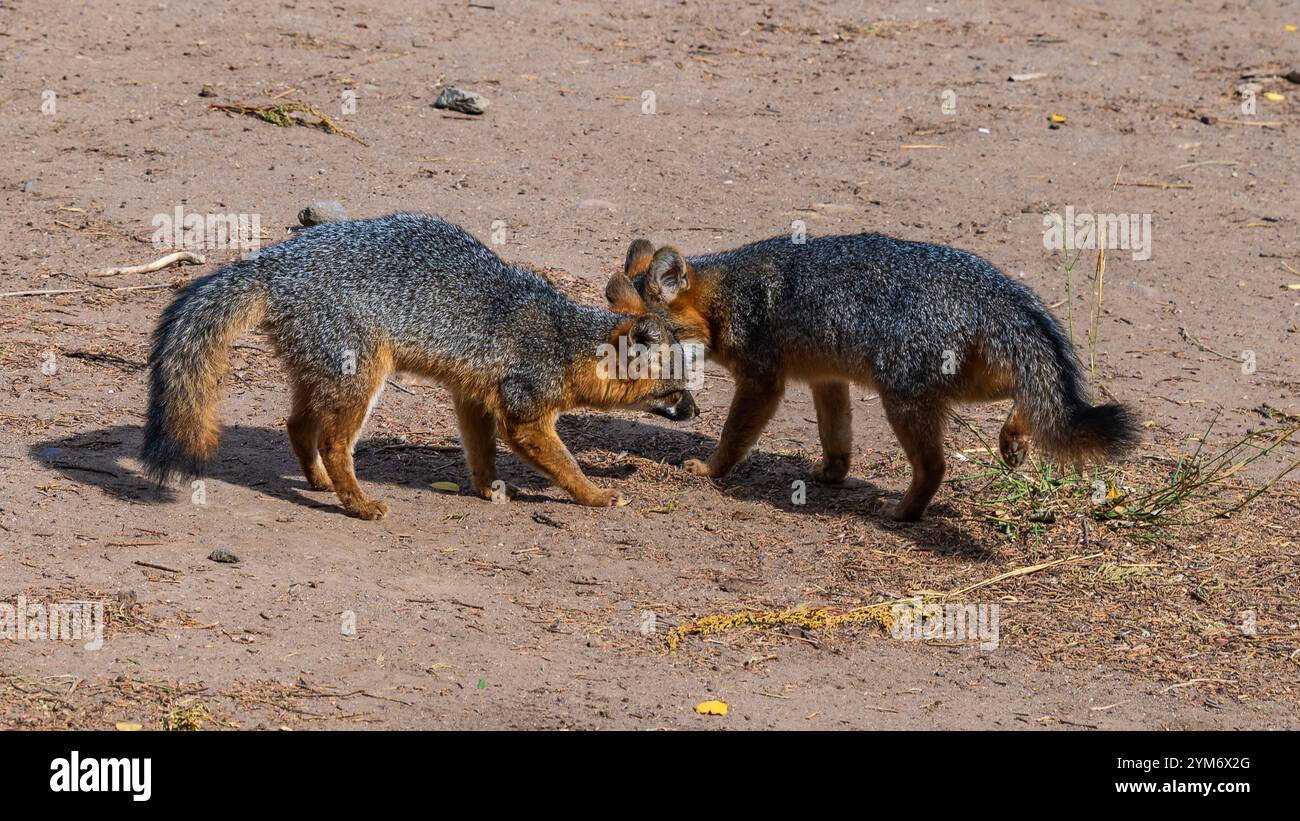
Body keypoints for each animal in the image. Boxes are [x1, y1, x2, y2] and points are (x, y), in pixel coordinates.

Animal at [141, 212, 697, 520]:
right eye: (675, 390)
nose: (695, 411)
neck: (564, 339)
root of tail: (274, 260)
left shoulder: (473, 397)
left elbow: (481, 453)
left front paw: (489, 489)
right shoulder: (524, 415)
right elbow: (566, 465)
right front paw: (597, 497)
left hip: (321, 375)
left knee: (297, 425)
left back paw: (320, 484)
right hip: (362, 380)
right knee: (333, 442)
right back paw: (358, 504)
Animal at [606, 232, 1138, 521]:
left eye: (649, 337)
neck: (729, 294)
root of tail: (994, 286)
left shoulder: (762, 382)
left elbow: (734, 434)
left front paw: (710, 469)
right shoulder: (826, 379)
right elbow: (836, 436)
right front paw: (832, 474)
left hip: (902, 400)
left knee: (935, 466)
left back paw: (904, 513)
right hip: (966, 385)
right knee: (1035, 396)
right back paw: (1013, 437)